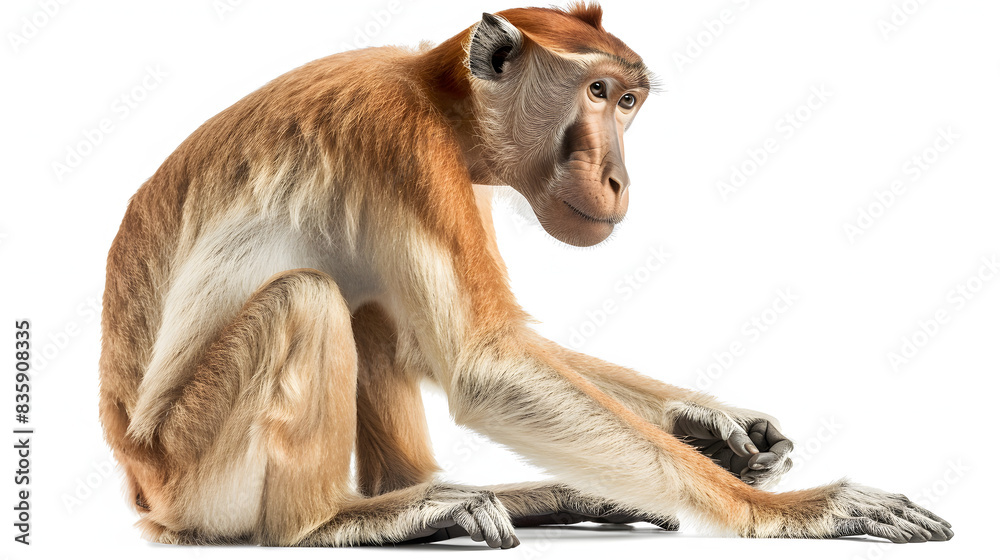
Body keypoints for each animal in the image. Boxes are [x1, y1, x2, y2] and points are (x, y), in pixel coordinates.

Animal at [99, 3, 953, 548]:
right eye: (597, 91)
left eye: (630, 101)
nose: (617, 179)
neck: (434, 89)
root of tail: (138, 475)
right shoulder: (409, 145)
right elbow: (485, 364)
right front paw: (783, 509)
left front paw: (715, 422)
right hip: (196, 463)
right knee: (310, 299)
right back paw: (333, 522)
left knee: (370, 310)